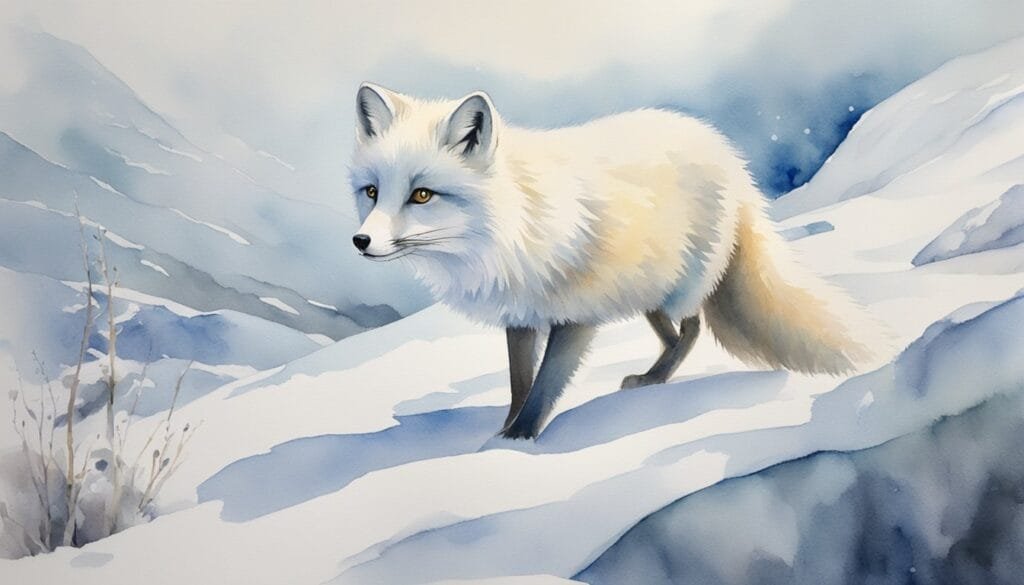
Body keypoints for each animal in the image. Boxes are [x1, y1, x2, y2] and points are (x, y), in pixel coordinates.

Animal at [348, 83, 885, 440]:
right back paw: (649, 380)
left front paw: (518, 443)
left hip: (677, 287)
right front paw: (503, 434)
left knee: (692, 330)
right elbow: (520, 383)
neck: (515, 220)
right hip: (648, 294)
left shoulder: (575, 316)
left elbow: (544, 388)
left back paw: (657, 378)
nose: (360, 240)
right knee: (675, 337)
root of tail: (731, 158)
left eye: (421, 195)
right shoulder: (521, 316)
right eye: (372, 192)